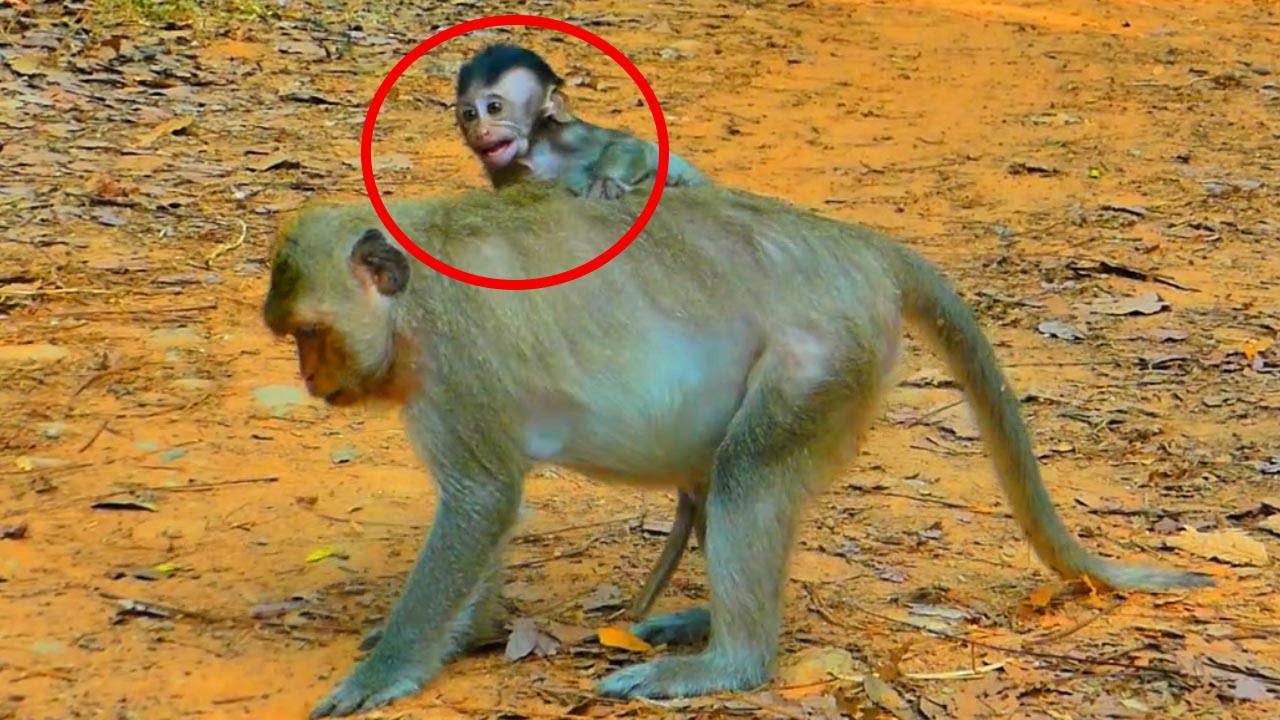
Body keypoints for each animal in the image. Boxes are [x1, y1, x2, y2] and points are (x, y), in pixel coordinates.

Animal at [263, 181, 1213, 718]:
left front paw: (391, 666)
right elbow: (483, 513)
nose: (309, 379)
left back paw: (727, 661)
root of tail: (859, 247)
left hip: (827, 355)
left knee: (746, 479)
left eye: (310, 335)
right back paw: (690, 624)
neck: (413, 297)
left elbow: (483, 498)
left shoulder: (459, 359)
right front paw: (470, 634)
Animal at [454, 43, 709, 200]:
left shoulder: (572, 134)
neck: (538, 146)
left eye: (494, 108)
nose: (481, 132)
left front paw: (605, 181)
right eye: (470, 114)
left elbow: (630, 144)